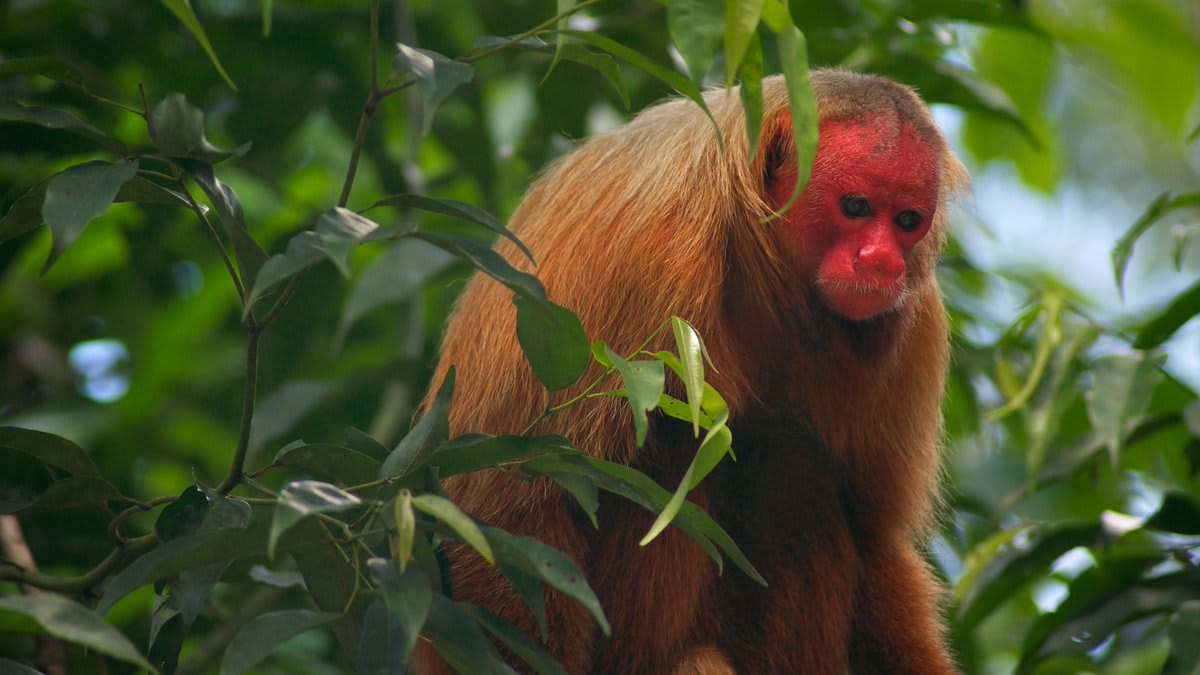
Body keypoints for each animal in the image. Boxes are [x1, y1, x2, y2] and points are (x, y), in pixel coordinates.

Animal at [413, 70, 967, 674]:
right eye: (857, 206)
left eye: (907, 221)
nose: (883, 262)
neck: (767, 267)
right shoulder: (638, 251)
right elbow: (506, 498)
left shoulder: (914, 326)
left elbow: (875, 538)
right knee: (685, 446)